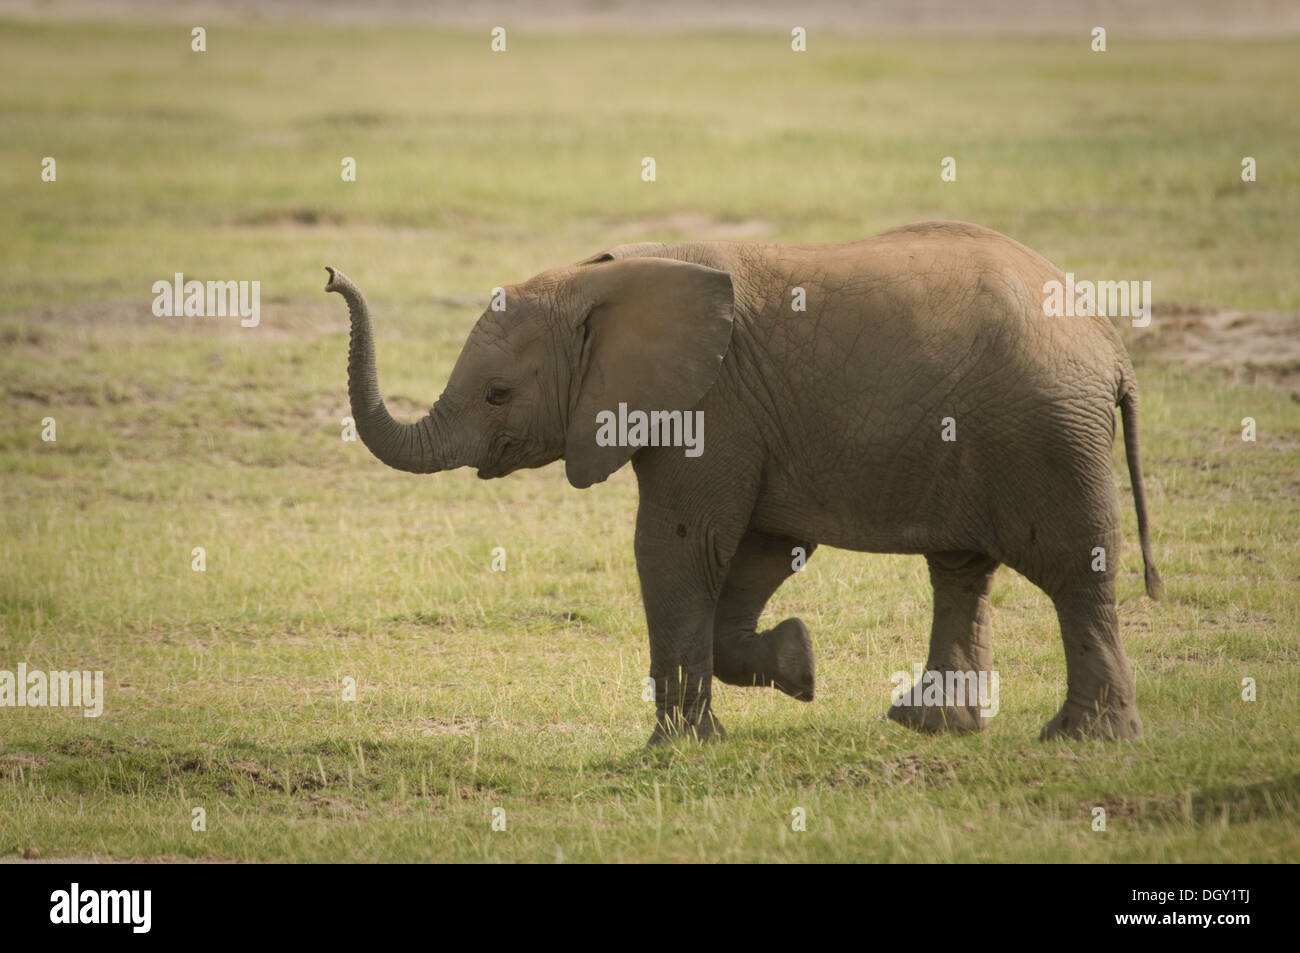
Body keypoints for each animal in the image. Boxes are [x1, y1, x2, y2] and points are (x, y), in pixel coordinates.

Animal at [325, 220, 1163, 747]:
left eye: (499, 394)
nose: (331, 274)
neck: (610, 275)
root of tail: (1111, 345)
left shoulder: (714, 407)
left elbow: (676, 545)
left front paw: (674, 748)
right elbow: (757, 551)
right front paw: (800, 665)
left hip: (1047, 433)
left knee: (1075, 569)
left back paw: (1083, 738)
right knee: (961, 571)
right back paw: (929, 724)